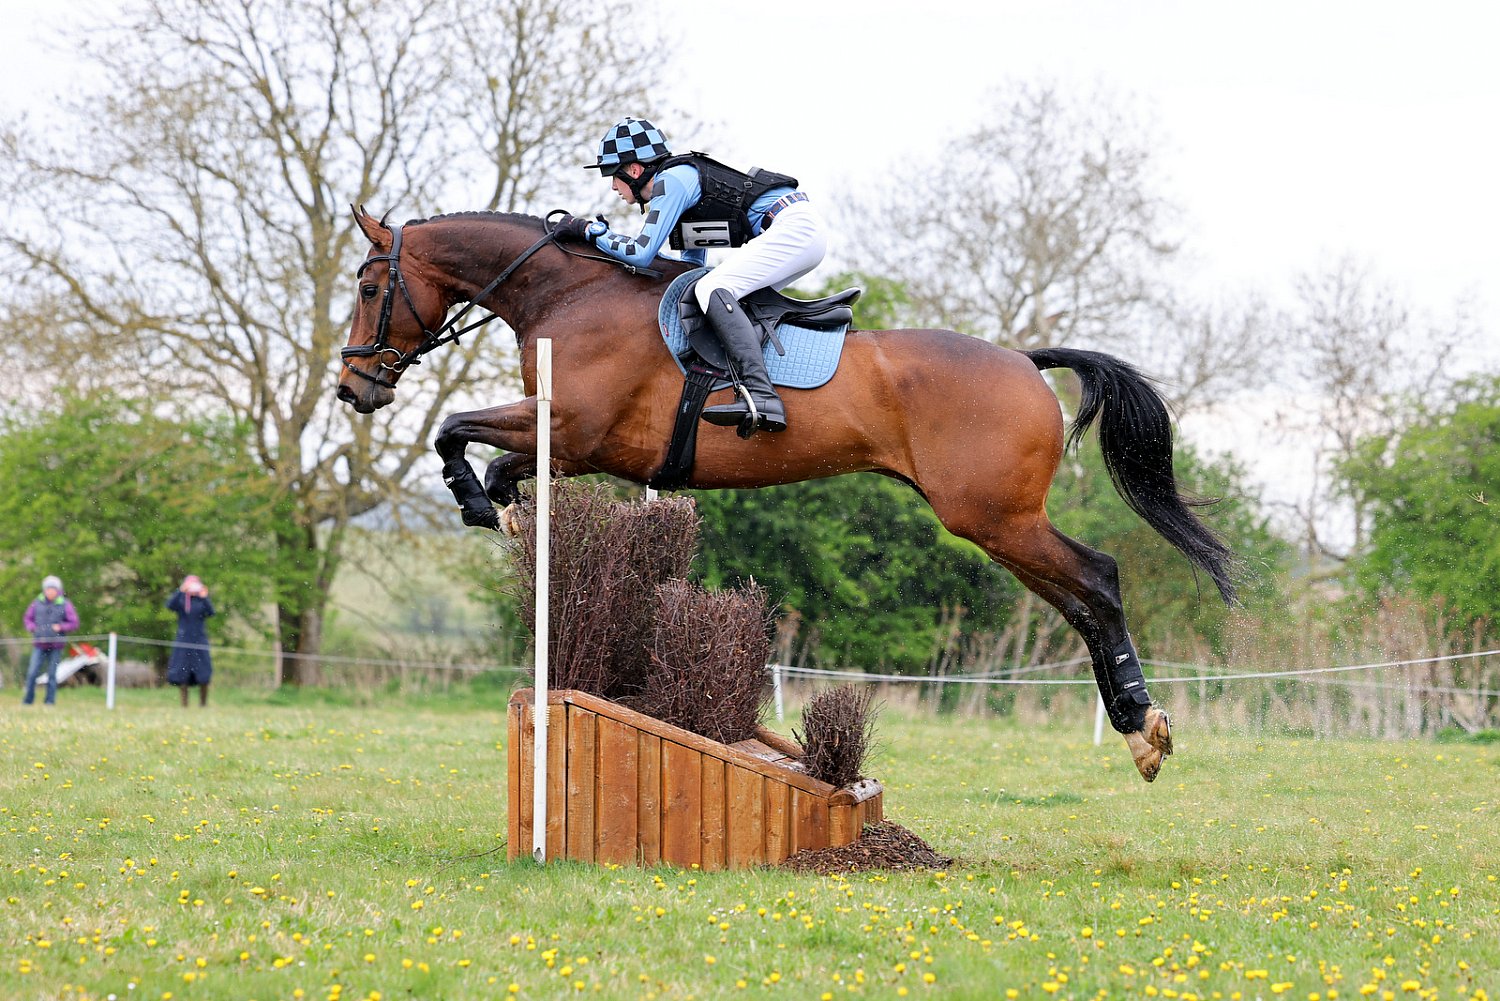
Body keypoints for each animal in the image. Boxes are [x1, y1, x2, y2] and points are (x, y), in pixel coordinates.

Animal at [336, 207, 1239, 782]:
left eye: (370, 289)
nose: (354, 388)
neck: (568, 292)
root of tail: (1023, 359)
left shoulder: (576, 429)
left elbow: (451, 426)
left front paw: (473, 498)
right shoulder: (564, 442)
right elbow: (490, 456)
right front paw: (492, 502)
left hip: (994, 516)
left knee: (1099, 579)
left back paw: (1144, 727)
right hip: (998, 522)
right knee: (1080, 600)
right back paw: (1138, 728)